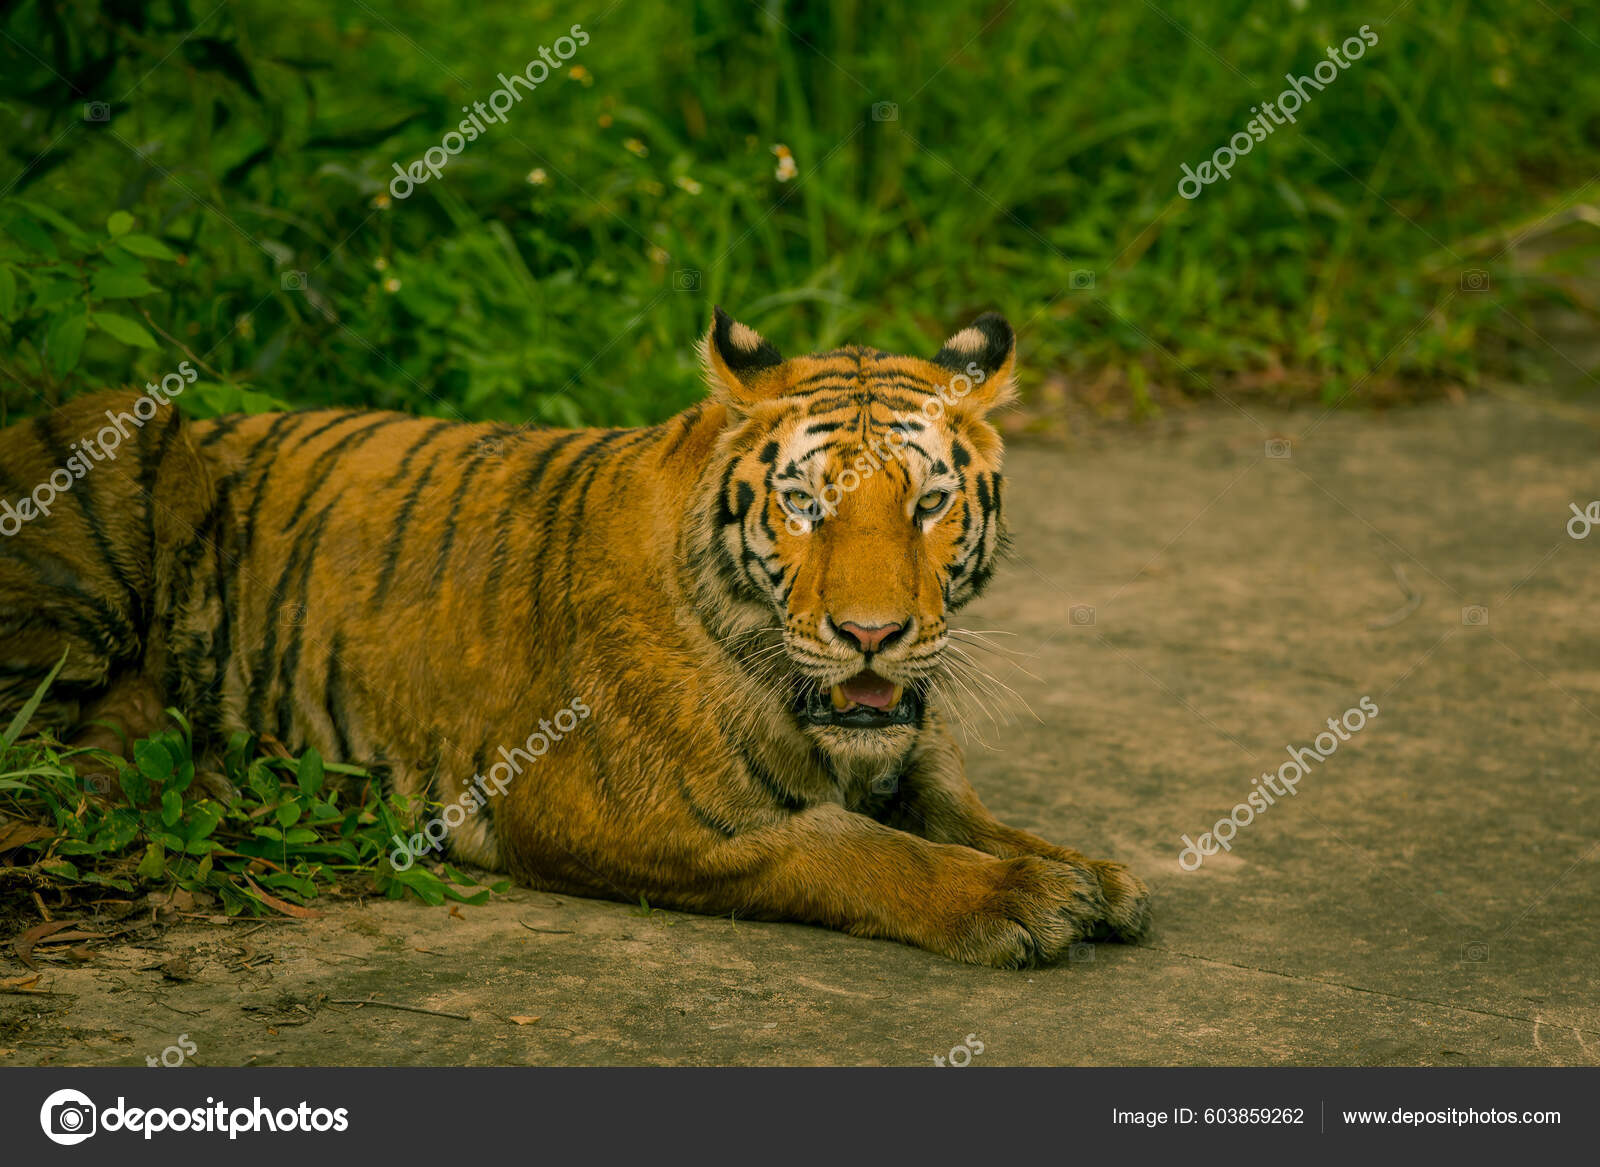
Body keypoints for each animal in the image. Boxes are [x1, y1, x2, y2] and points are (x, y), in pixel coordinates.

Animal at [0, 308, 1150, 967]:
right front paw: (1022, 899)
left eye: (928, 504)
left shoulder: (913, 762)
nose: (871, 633)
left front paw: (1090, 874)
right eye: (805, 504)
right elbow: (849, 849)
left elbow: (978, 819)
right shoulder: (616, 810)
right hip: (124, 459)